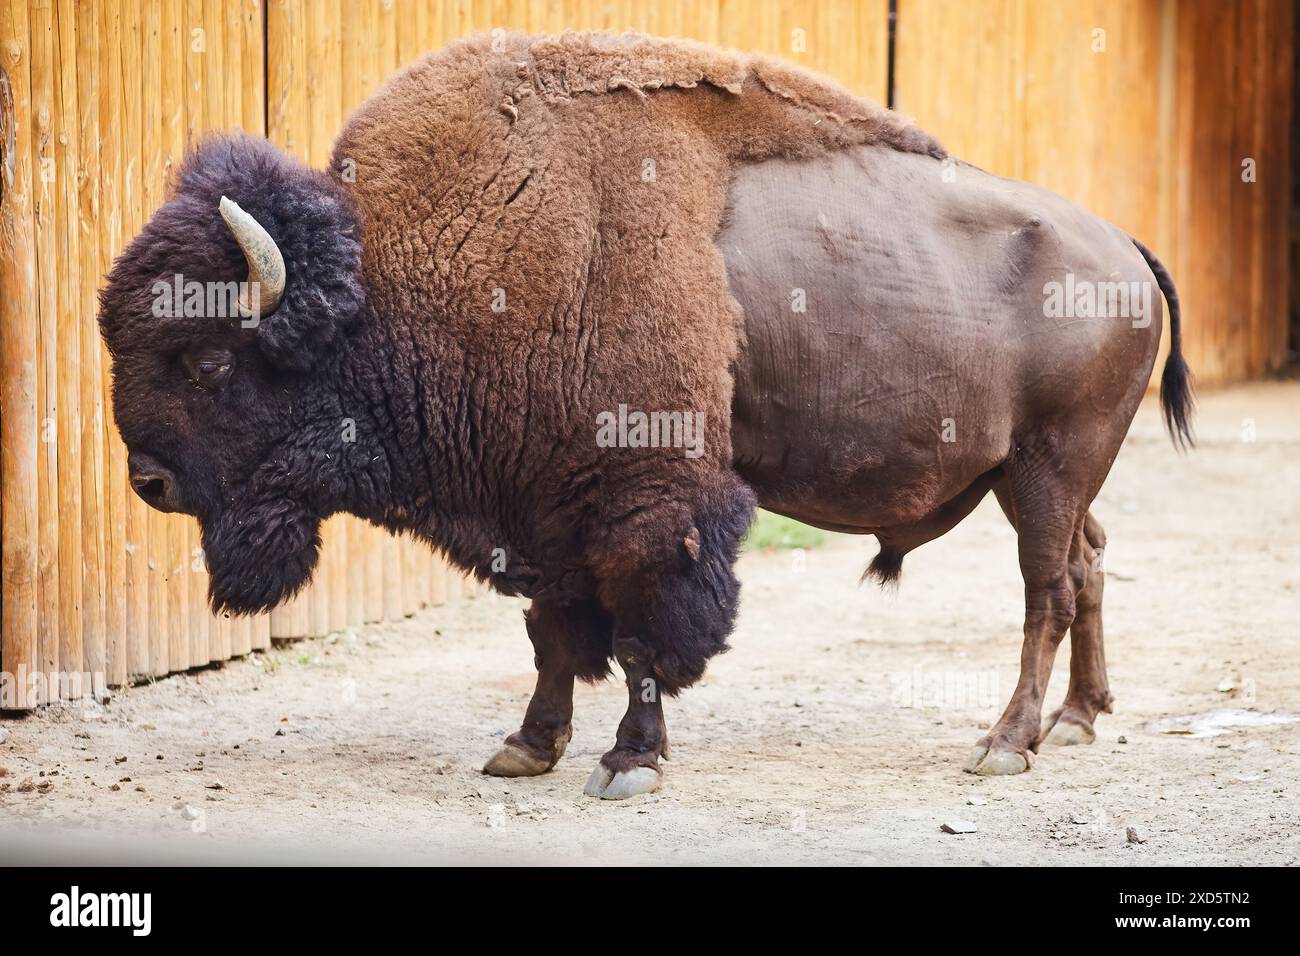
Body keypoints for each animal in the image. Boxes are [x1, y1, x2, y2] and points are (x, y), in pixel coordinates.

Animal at [99, 32, 1191, 798]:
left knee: (1046, 589)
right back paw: (1080, 719)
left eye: (208, 358)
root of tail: (1127, 251)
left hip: (1046, 469)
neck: (402, 278)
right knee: (1089, 562)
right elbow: (550, 631)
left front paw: (628, 761)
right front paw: (524, 747)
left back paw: (1005, 744)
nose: (148, 480)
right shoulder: (538, 505)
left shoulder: (645, 505)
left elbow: (640, 634)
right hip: (1036, 477)